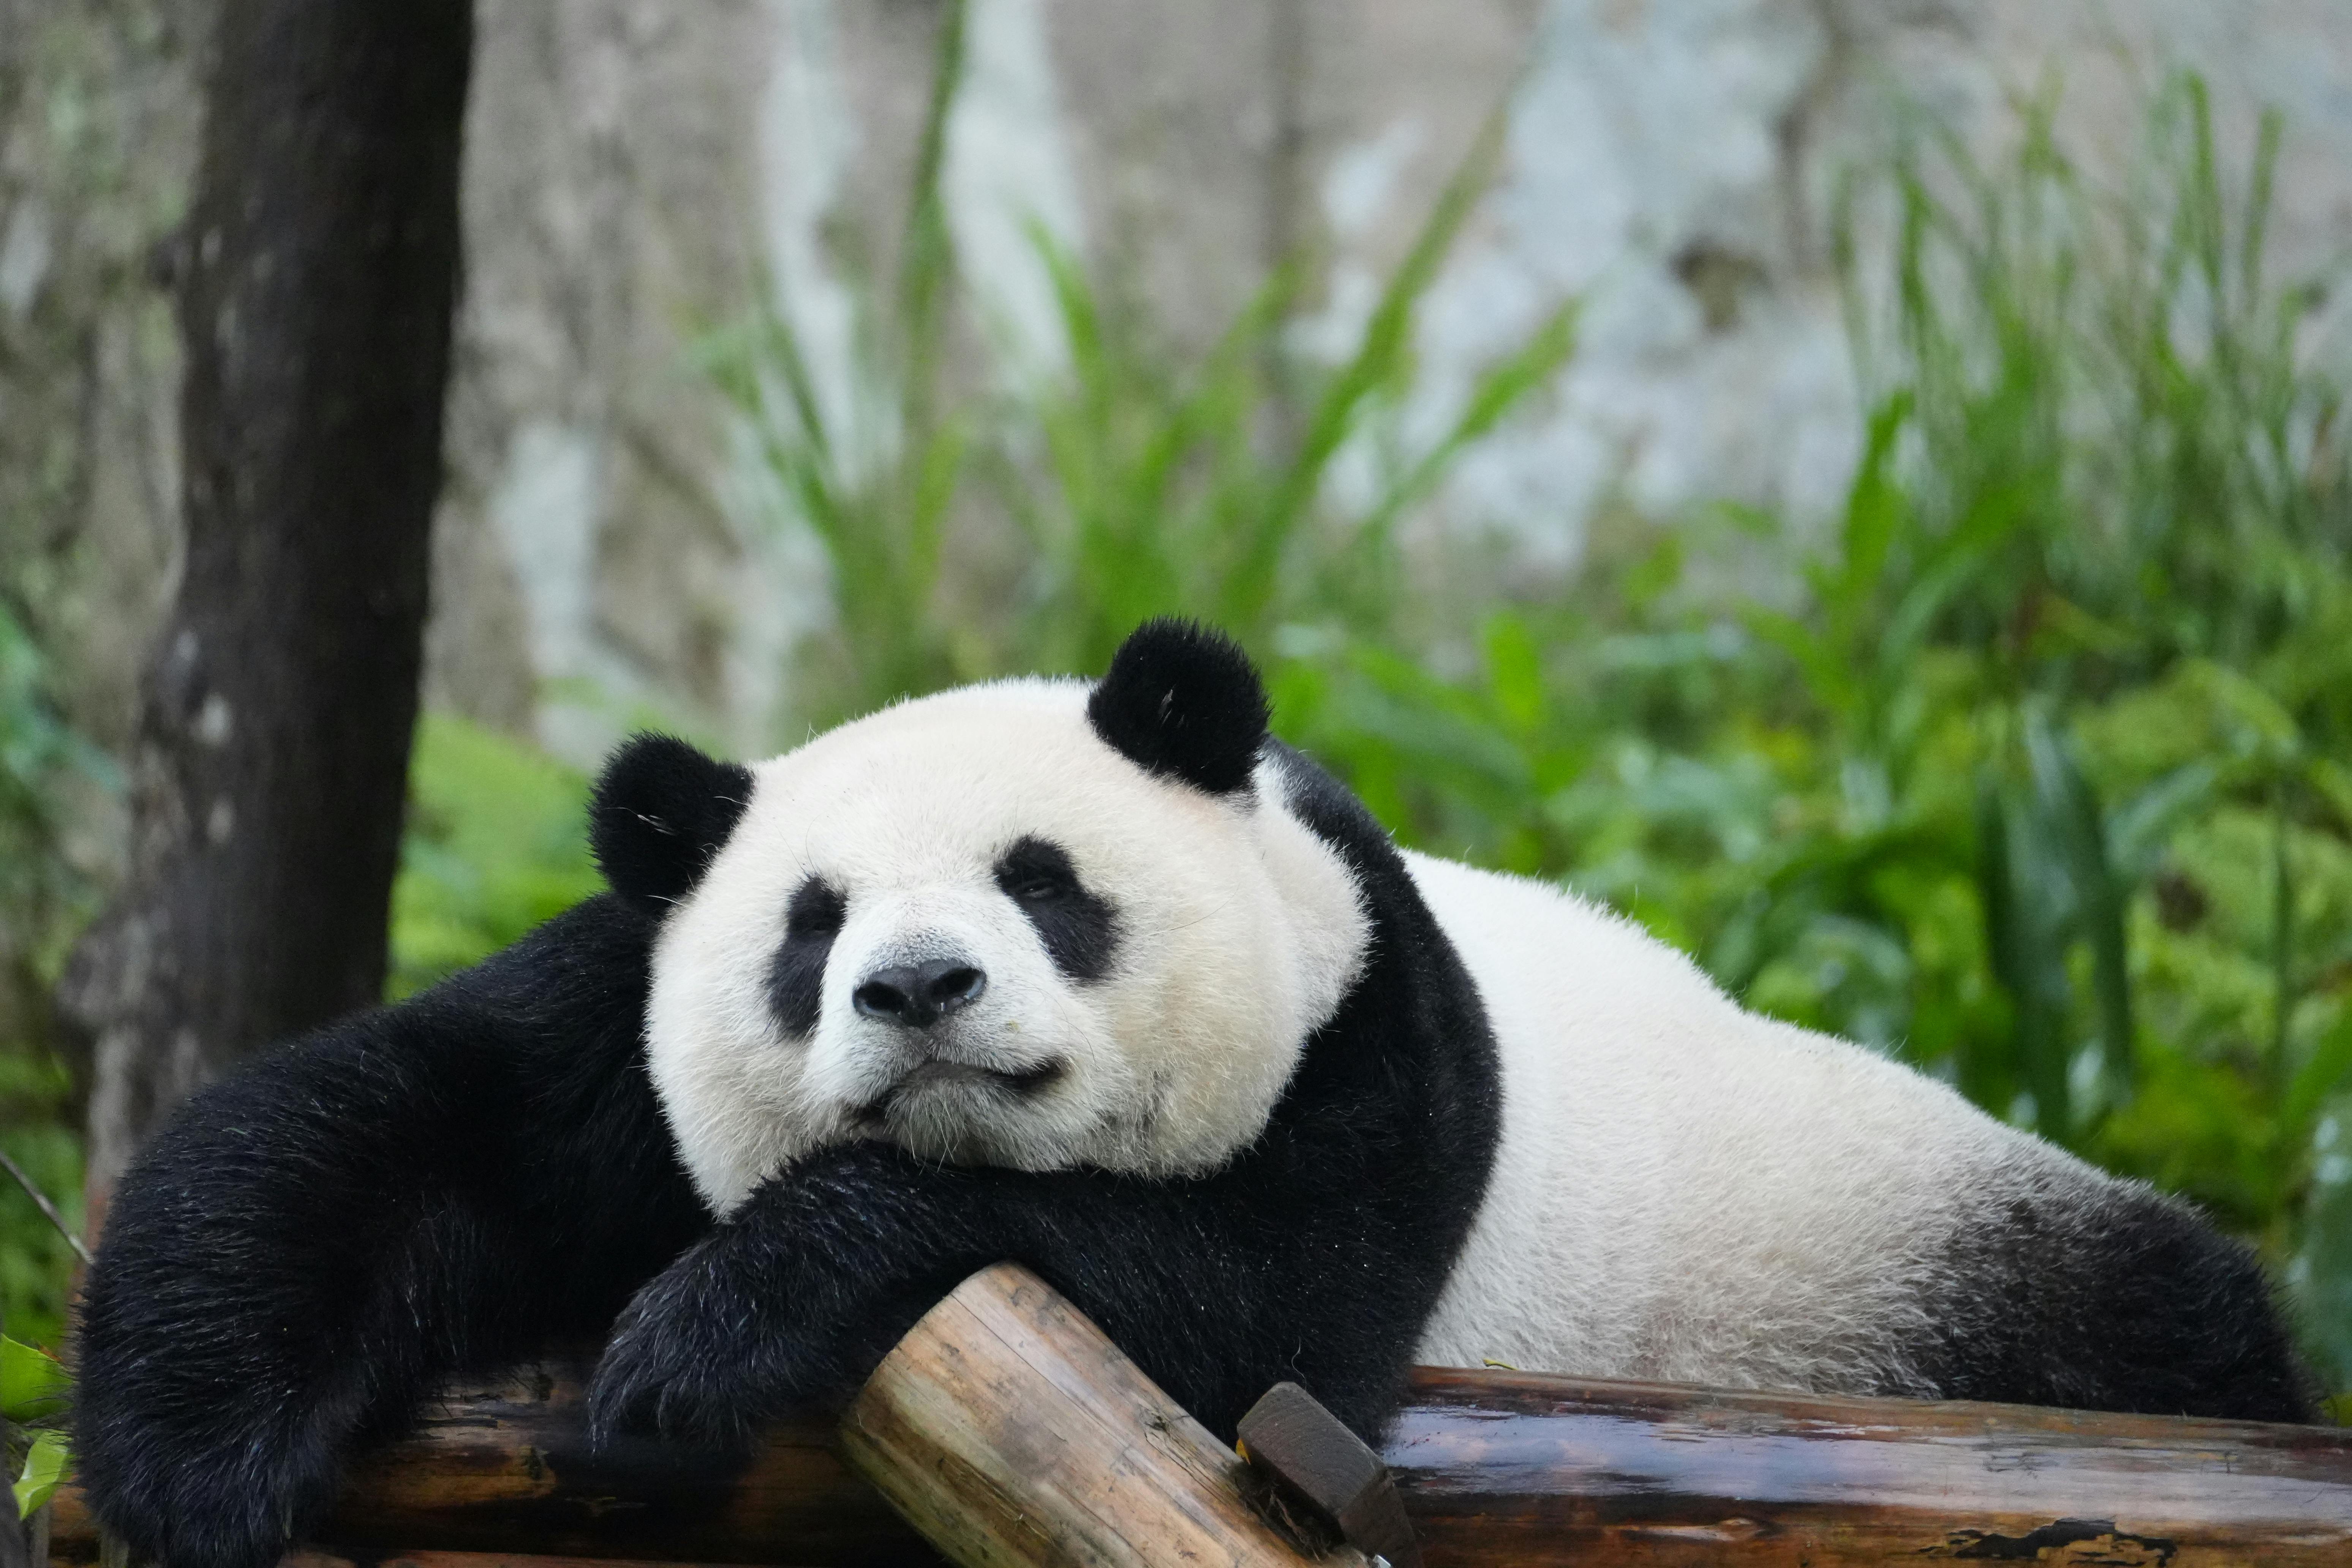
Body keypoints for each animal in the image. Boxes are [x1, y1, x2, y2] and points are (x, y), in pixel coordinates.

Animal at [76, 620, 2312, 1568]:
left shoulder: (1379, 1043)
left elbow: (1223, 1311)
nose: (915, 988)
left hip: (1910, 1254)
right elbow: (377, 1121)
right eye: (809, 923)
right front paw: (195, 1464)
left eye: (1043, 881)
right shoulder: (612, 1026)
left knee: (2177, 1326)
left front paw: (713, 1331)